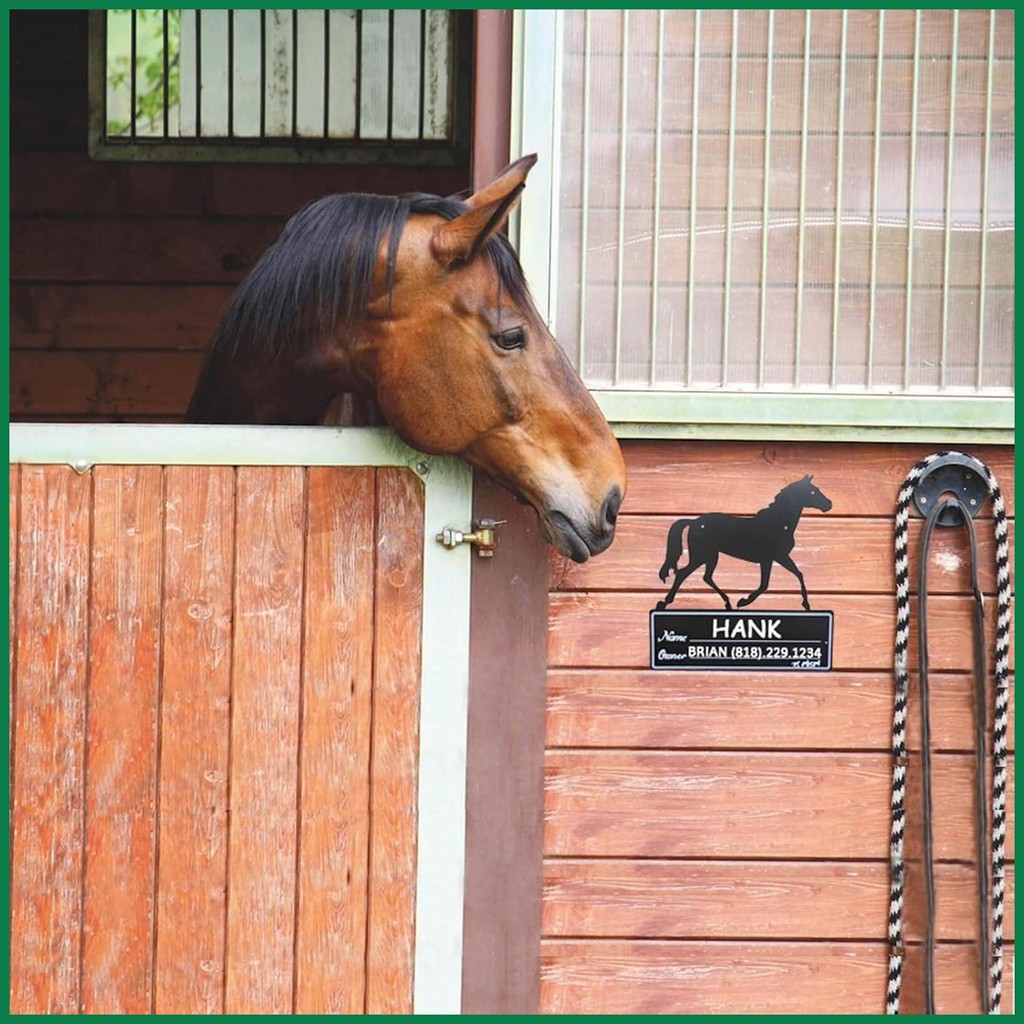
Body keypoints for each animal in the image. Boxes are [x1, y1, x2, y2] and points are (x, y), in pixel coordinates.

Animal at [655, 475, 833, 611]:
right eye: (813, 492)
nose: (829, 504)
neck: (779, 523)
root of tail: (694, 521)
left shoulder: (773, 559)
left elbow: (792, 575)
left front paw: (806, 604)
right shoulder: (776, 557)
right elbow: (769, 583)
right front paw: (744, 601)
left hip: (710, 556)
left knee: (706, 577)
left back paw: (727, 602)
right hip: (702, 555)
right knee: (683, 573)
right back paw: (665, 603)